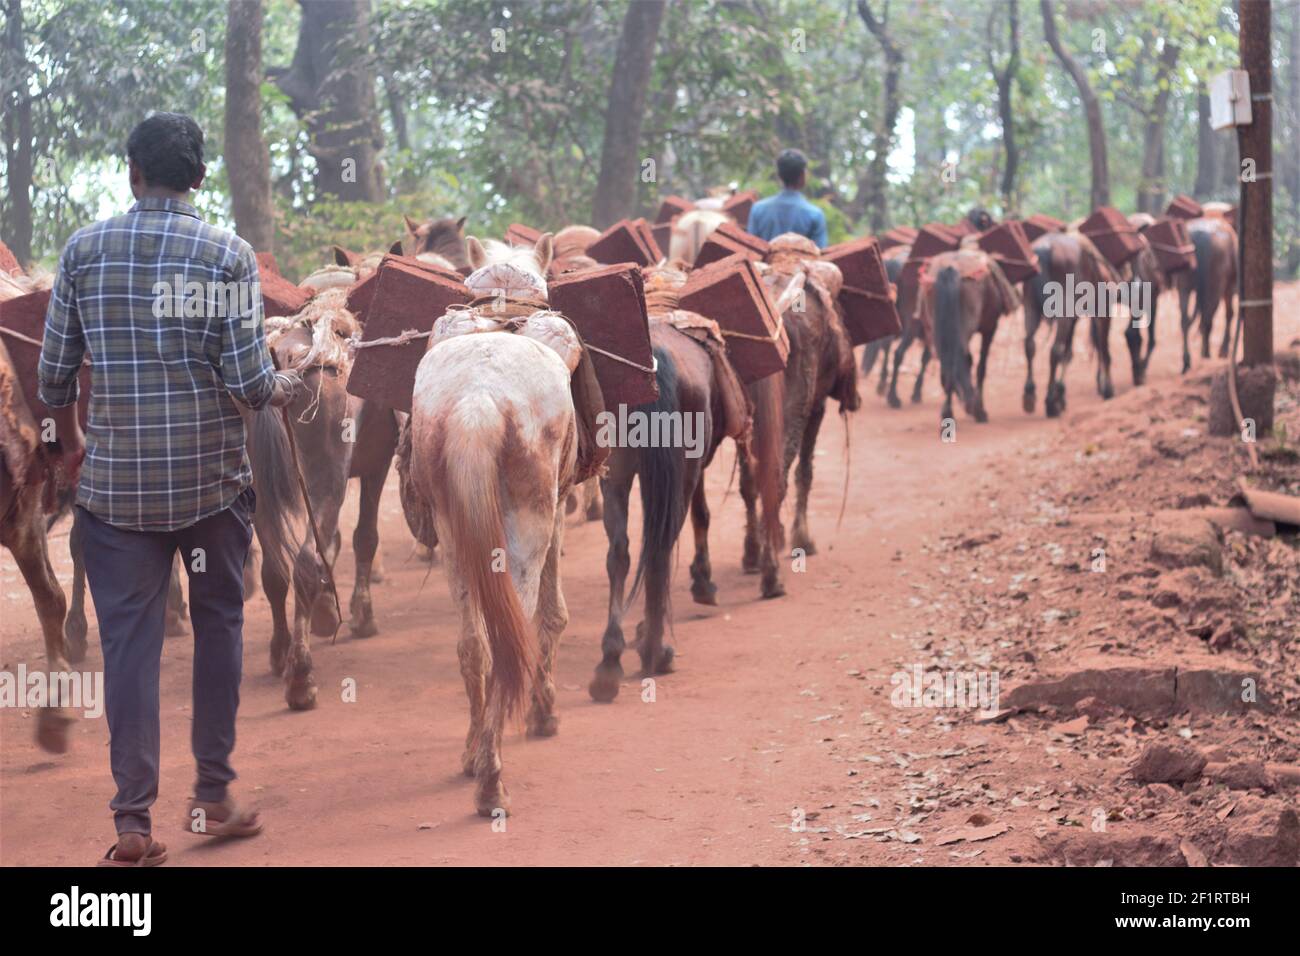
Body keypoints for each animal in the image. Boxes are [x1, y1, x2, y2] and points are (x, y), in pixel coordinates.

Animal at [404, 233, 578, 816]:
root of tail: (478, 401)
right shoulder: (558, 503)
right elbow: (552, 615)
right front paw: (546, 711)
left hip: (454, 532)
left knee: (473, 643)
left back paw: (473, 754)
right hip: (528, 520)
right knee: (512, 635)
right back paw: (492, 780)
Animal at [589, 265, 747, 702]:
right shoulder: (692, 469)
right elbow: (702, 515)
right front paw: (703, 581)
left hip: (617, 472)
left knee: (620, 551)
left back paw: (609, 662)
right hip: (681, 470)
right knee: (659, 548)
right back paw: (654, 649)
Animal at [917, 249, 1021, 424]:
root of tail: (950, 269)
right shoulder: (989, 328)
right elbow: (980, 367)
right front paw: (978, 409)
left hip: (938, 328)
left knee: (948, 362)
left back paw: (948, 411)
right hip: (965, 328)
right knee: (959, 359)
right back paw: (965, 410)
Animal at [1021, 231, 1121, 417]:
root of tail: (1045, 248)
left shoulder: (1073, 319)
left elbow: (1068, 353)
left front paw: (1061, 395)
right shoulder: (1102, 313)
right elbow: (1104, 351)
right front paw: (1108, 389)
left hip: (1031, 309)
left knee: (1030, 345)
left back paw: (1030, 395)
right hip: (1063, 315)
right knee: (1055, 350)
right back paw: (1050, 402)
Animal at [1174, 217, 1238, 373]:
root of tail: (1201, 236)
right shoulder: (1230, 285)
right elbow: (1229, 314)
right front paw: (1223, 349)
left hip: (1184, 283)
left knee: (1185, 320)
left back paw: (1187, 361)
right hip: (1217, 283)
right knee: (1208, 316)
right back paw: (1206, 353)